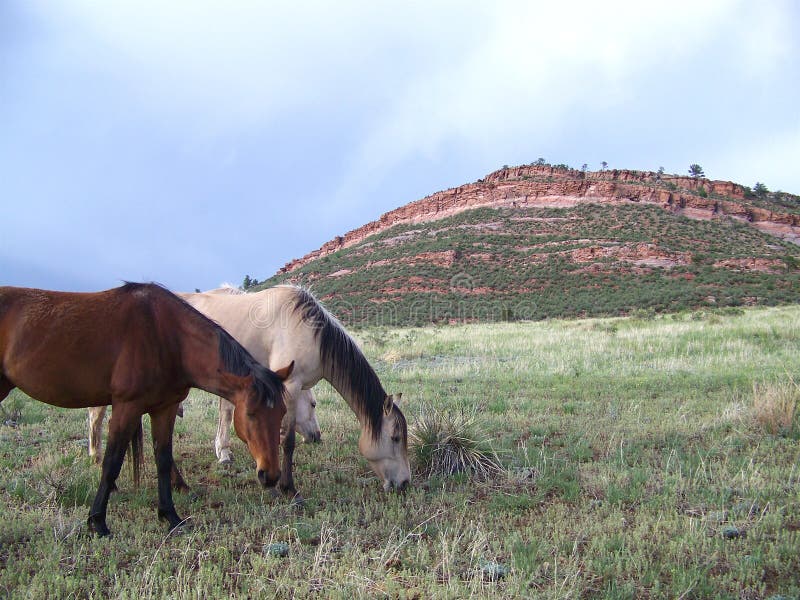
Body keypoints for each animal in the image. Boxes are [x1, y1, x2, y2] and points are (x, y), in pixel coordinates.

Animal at [0, 283, 289, 537]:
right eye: (250, 413)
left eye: (282, 413)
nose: (271, 475)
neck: (166, 337)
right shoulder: (126, 407)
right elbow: (112, 462)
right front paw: (98, 522)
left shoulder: (165, 409)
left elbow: (163, 458)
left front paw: (170, 517)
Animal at [180, 285, 411, 498]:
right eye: (395, 438)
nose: (405, 483)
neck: (310, 334)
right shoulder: (290, 386)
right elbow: (287, 441)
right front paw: (287, 487)